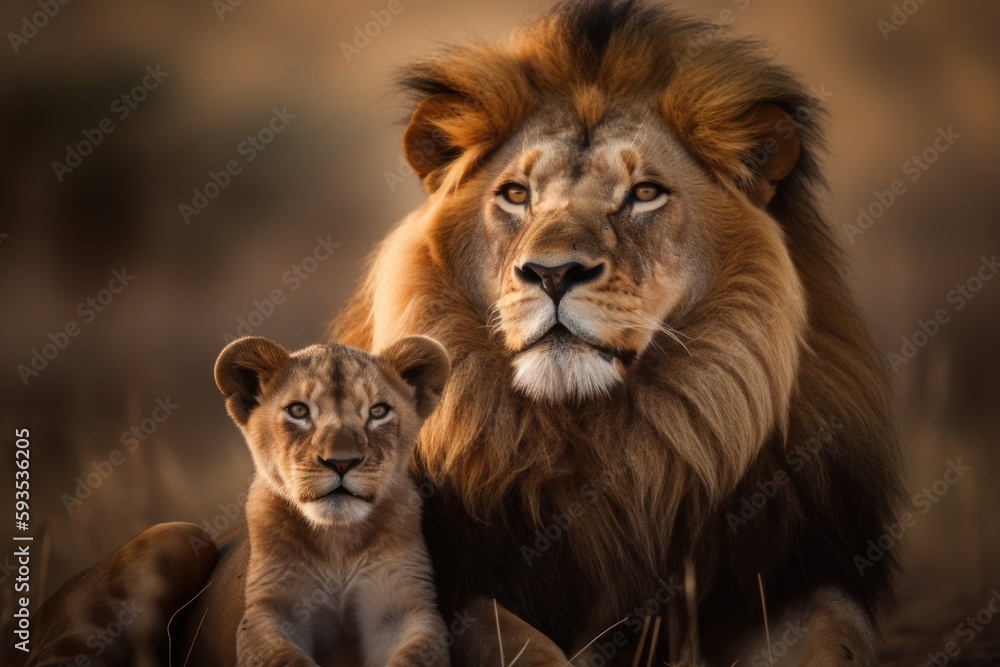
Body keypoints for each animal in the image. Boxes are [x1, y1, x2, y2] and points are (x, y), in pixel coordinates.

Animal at [215, 335, 450, 667]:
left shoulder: (400, 607)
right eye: (298, 410)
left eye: (379, 411)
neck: (337, 541)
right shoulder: (270, 609)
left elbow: (413, 657)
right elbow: (286, 659)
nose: (341, 462)